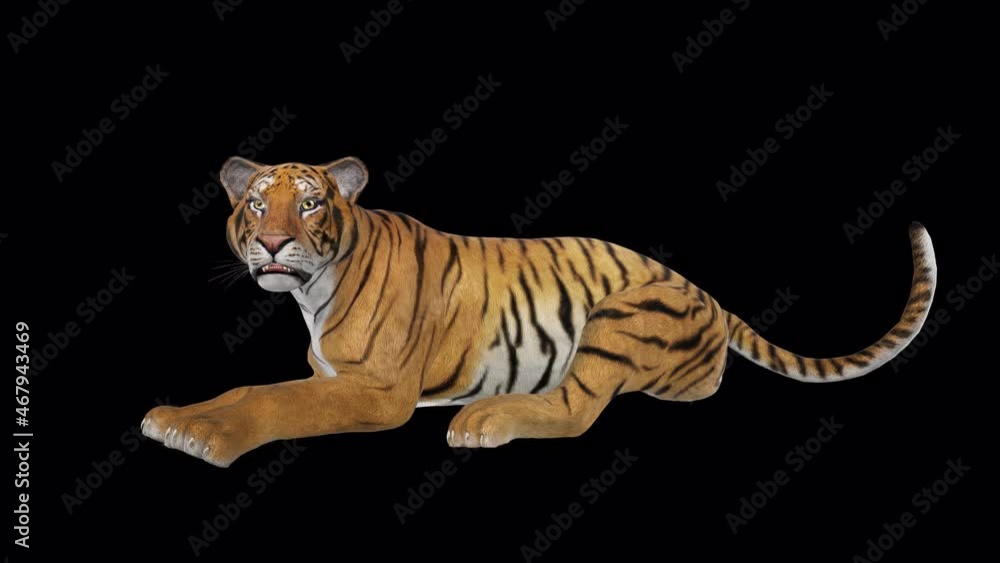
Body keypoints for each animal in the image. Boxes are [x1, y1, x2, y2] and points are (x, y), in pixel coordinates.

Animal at [142, 156, 938, 467]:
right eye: (255, 203)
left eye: (309, 203)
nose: (274, 241)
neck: (312, 293)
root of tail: (703, 290)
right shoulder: (334, 373)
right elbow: (259, 386)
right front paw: (172, 417)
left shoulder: (380, 390)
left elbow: (272, 399)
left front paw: (199, 434)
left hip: (617, 316)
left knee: (576, 409)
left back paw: (483, 420)